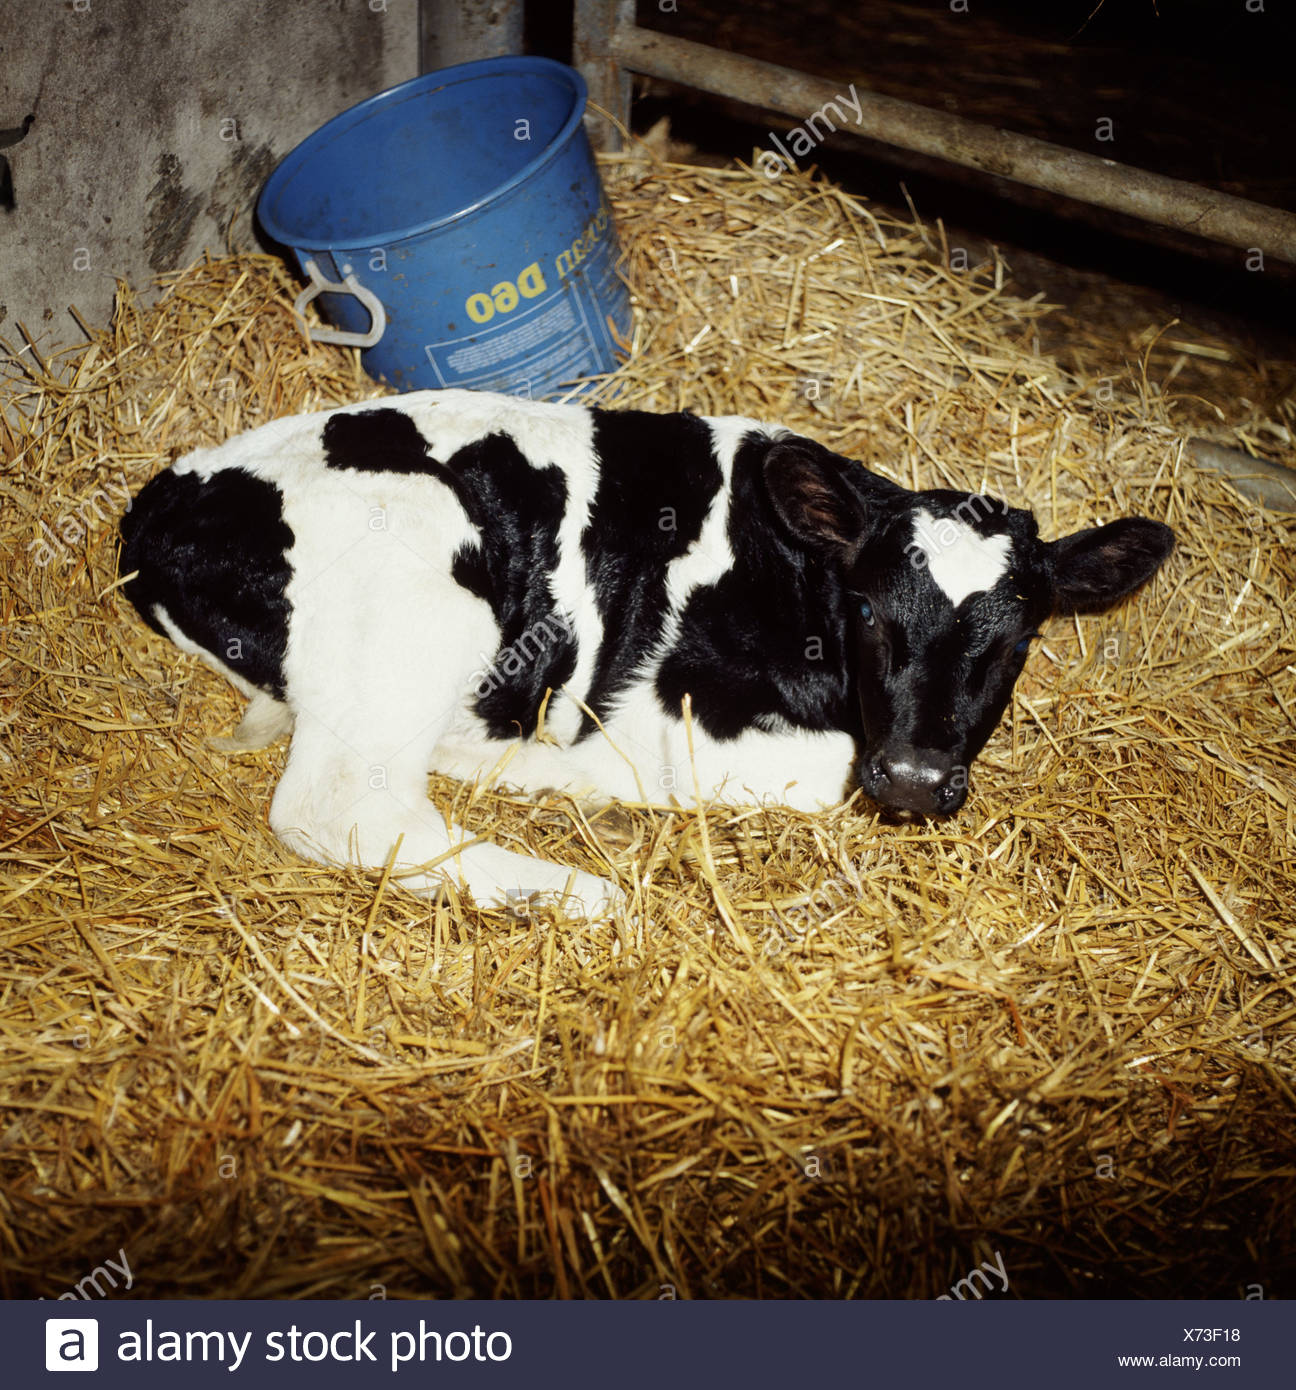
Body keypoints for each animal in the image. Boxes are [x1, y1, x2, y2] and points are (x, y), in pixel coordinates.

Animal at [118, 389, 1174, 917]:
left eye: (1017, 638)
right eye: (870, 609)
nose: (914, 777)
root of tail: (165, 495)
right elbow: (787, 778)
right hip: (416, 581)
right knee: (342, 805)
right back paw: (574, 887)